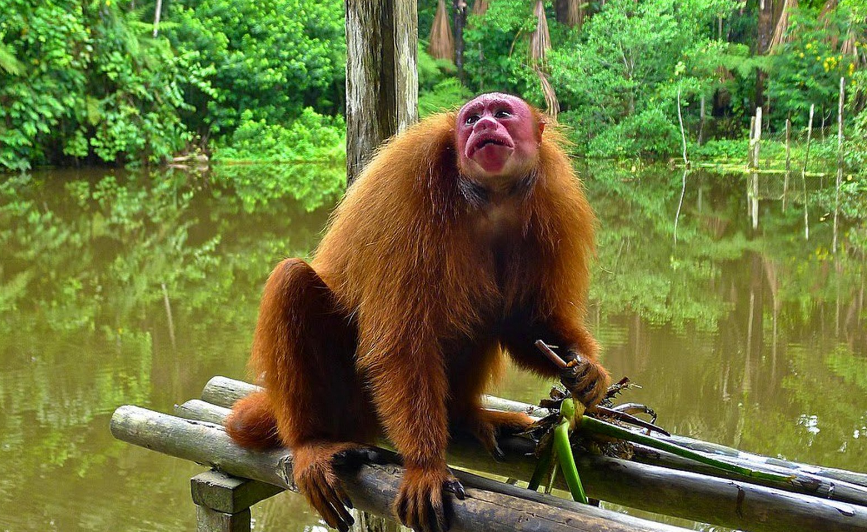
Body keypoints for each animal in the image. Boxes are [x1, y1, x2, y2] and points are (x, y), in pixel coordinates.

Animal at [225, 93, 610, 532]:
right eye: (471, 119)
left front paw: (586, 371)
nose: (483, 127)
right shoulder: (409, 186)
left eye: (501, 113)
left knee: (482, 307)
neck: (490, 198)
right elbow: (400, 344)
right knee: (291, 281)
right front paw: (426, 466)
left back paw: (463, 415)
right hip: (352, 401)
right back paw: (311, 442)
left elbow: (525, 324)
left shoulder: (554, 202)